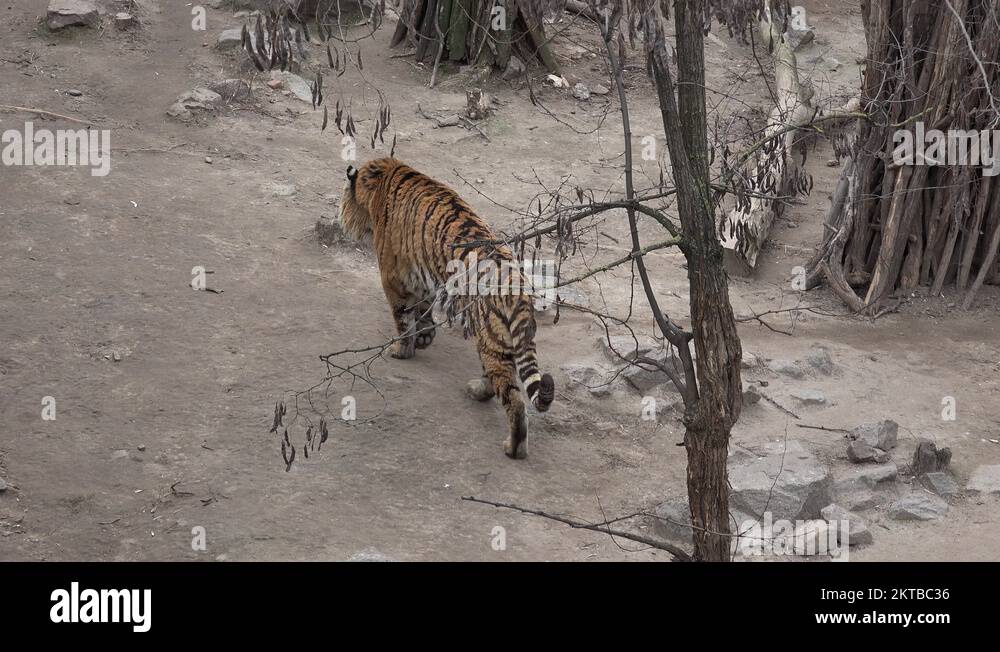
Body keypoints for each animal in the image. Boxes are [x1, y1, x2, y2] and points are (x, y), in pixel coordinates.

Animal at [338, 157, 554, 459]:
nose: (341, 218)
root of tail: (516, 286)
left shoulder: (393, 278)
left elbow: (402, 318)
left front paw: (401, 350)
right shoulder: (420, 277)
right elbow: (423, 312)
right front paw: (424, 339)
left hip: (490, 338)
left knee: (513, 398)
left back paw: (514, 446)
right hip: (500, 339)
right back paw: (477, 390)